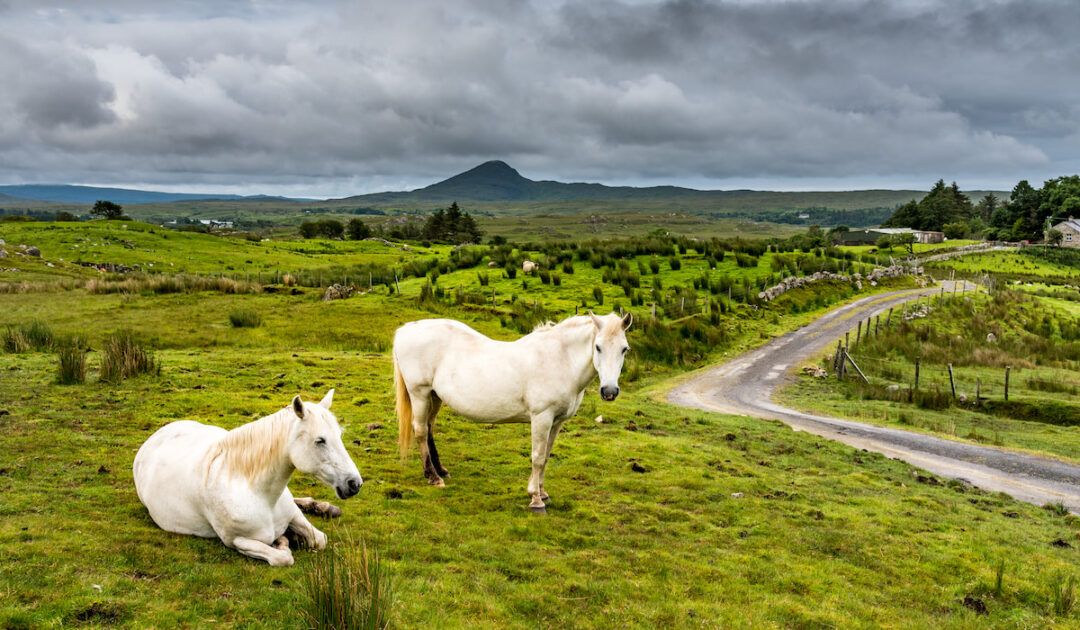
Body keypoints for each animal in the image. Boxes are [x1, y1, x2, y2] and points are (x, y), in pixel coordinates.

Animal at [133, 390, 362, 566]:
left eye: (339, 436)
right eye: (320, 440)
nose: (355, 484)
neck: (260, 495)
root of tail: (158, 434)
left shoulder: (293, 515)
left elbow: (320, 539)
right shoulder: (237, 541)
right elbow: (282, 558)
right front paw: (283, 542)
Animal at [393, 311, 632, 513]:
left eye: (624, 349)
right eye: (598, 347)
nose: (609, 391)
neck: (559, 359)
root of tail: (406, 329)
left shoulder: (556, 422)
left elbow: (546, 457)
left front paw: (543, 493)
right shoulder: (541, 418)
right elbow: (537, 457)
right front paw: (535, 499)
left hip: (435, 397)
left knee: (429, 429)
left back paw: (441, 470)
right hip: (420, 394)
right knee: (421, 431)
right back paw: (433, 477)